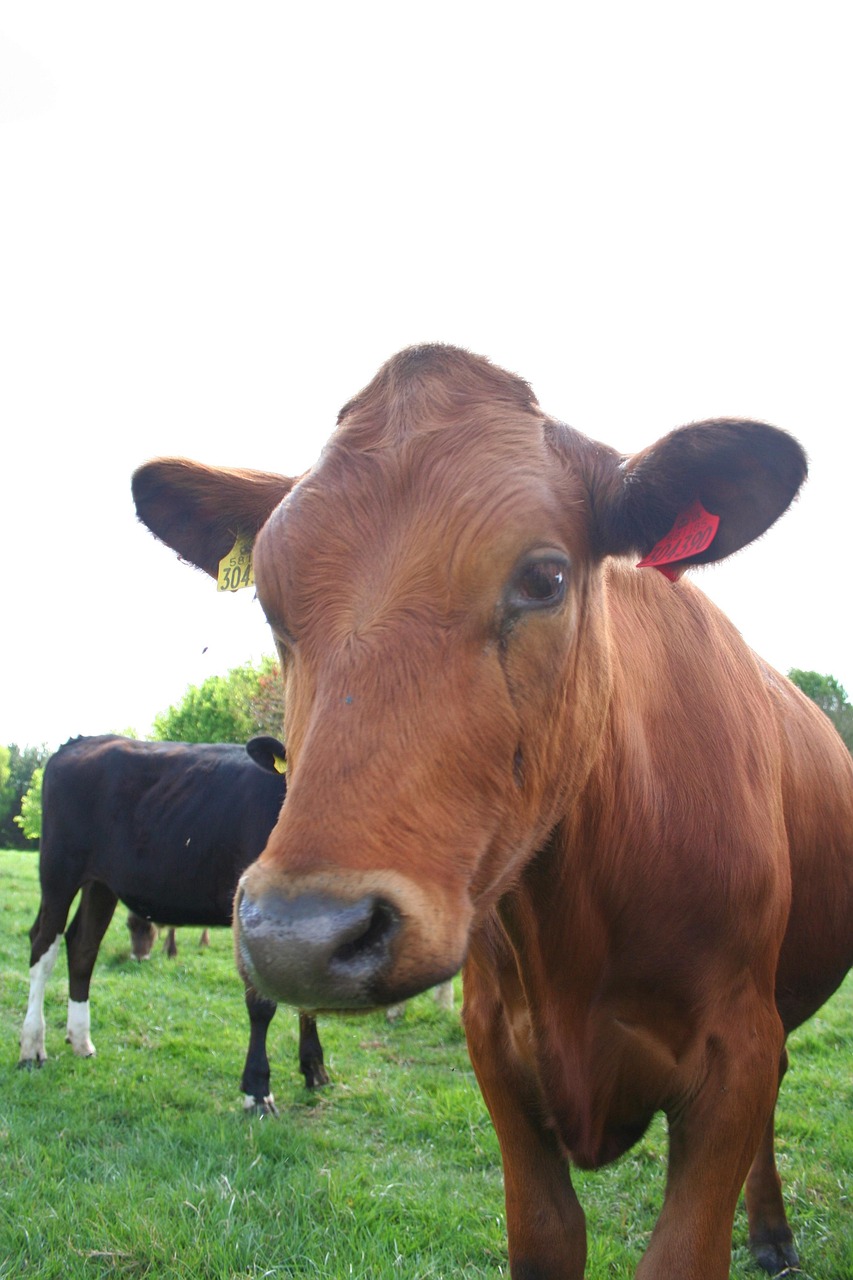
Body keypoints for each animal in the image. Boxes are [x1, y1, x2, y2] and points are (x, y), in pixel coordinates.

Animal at [19, 733, 329, 1108]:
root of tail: (82, 741)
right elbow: (261, 1003)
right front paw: (257, 1091)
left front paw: (314, 1068)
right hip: (59, 870)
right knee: (43, 947)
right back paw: (32, 1048)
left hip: (100, 883)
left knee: (82, 946)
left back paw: (81, 1042)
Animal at [132, 344, 853, 1278]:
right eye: (267, 604)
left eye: (545, 577)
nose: (299, 937)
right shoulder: (498, 1054)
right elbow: (545, 1233)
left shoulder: (736, 1051)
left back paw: (768, 1230)